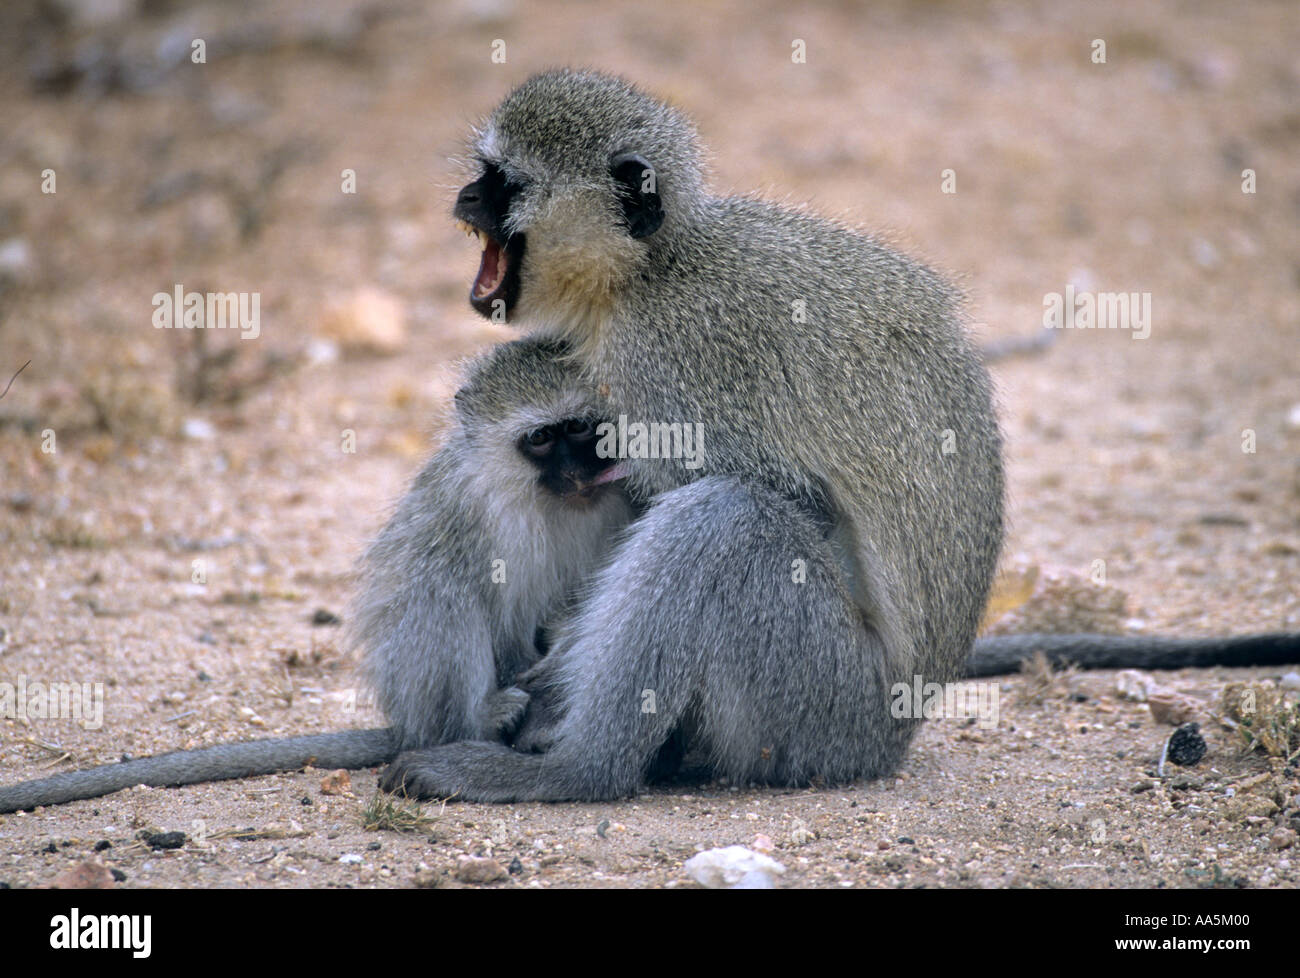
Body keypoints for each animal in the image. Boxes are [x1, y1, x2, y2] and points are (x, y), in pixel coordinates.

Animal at [0, 337, 633, 814]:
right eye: (543, 437)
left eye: (584, 429)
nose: (579, 472)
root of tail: (408, 726)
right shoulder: (466, 502)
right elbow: (468, 590)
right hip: (426, 702)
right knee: (439, 585)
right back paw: (475, 719)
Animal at [379, 69, 1299, 804]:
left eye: (503, 183)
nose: (463, 202)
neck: (650, 269)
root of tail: (898, 733)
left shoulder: (672, 359)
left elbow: (782, 499)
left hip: (823, 705)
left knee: (722, 521)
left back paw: (574, 773)